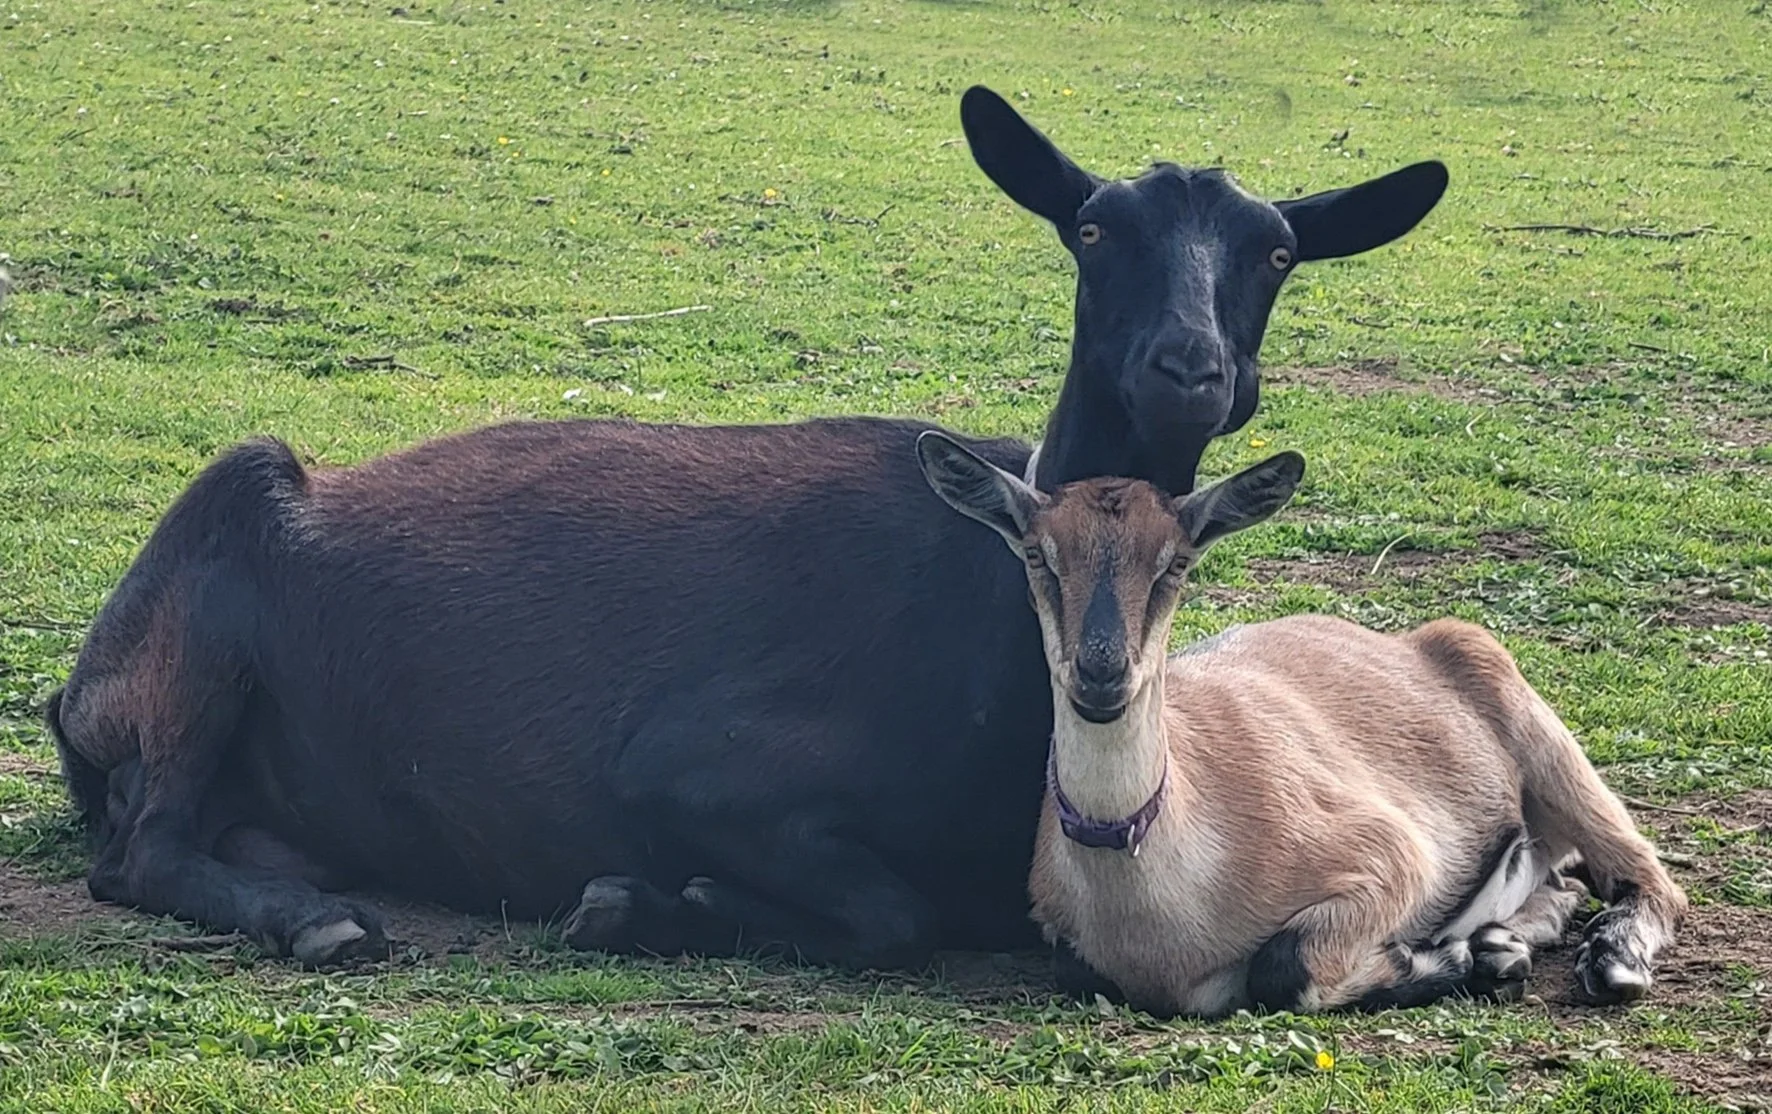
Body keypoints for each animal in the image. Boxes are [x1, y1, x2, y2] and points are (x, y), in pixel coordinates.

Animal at [47, 87, 1449, 968]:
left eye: (1274, 252)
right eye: (1092, 226)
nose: (1187, 368)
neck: (989, 652)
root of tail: (74, 695)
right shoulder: (690, 765)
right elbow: (888, 917)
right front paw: (639, 904)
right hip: (209, 585)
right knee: (141, 851)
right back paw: (318, 922)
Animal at [916, 431, 1686, 1015]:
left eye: (1177, 562)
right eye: (1037, 555)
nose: (1101, 673)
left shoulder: (1389, 854)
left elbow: (1283, 968)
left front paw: (1447, 958)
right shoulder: (1064, 940)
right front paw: (1482, 957)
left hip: (1541, 738)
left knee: (1649, 878)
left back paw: (1610, 962)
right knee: (1564, 885)